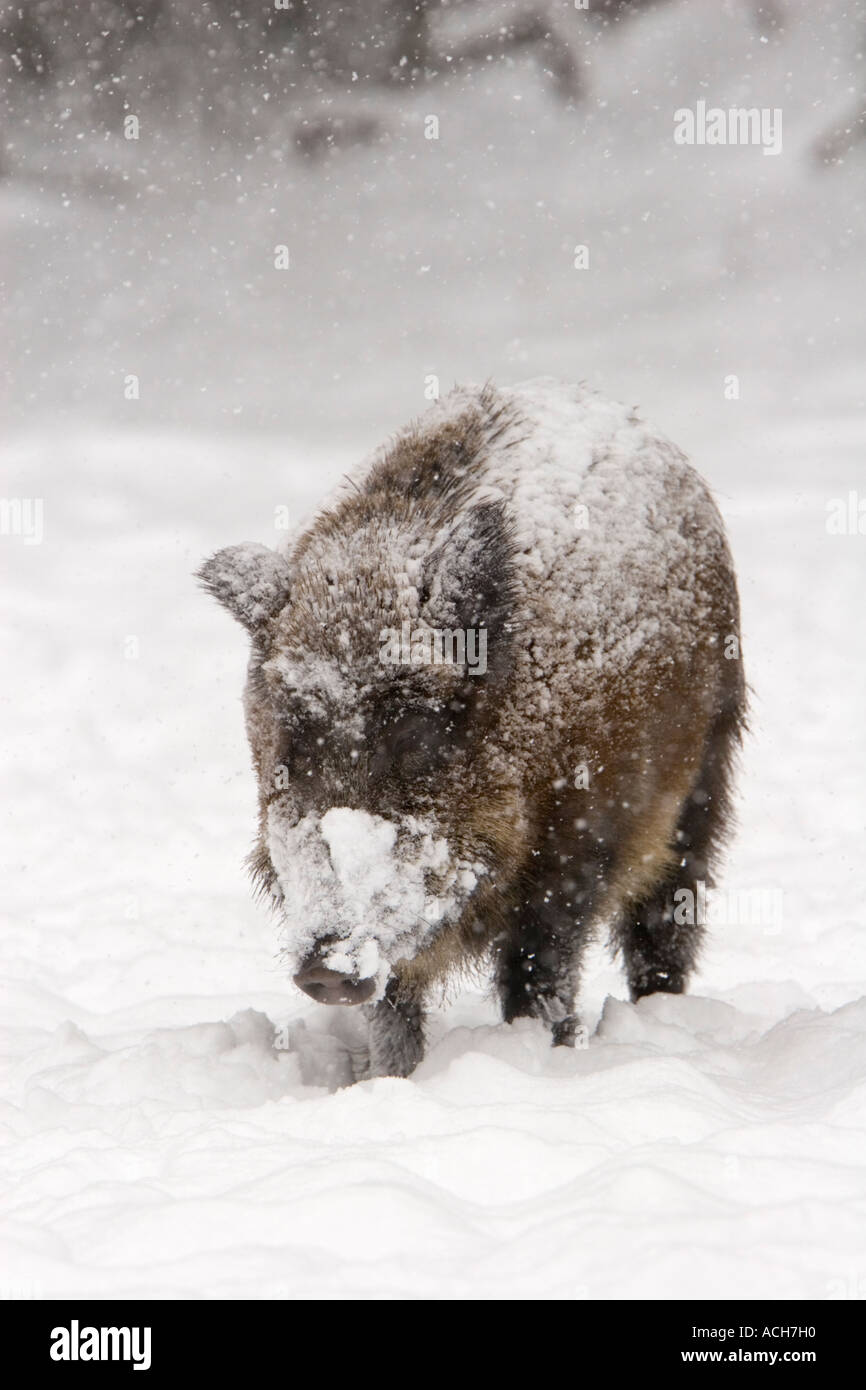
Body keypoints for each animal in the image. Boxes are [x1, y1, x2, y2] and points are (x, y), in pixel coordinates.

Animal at [199, 379, 746, 1079]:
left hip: (706, 779)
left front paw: (538, 1053)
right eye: (292, 740)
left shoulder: (577, 850)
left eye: (417, 734)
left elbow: (540, 971)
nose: (327, 968)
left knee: (666, 925)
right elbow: (394, 1005)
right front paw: (392, 1081)